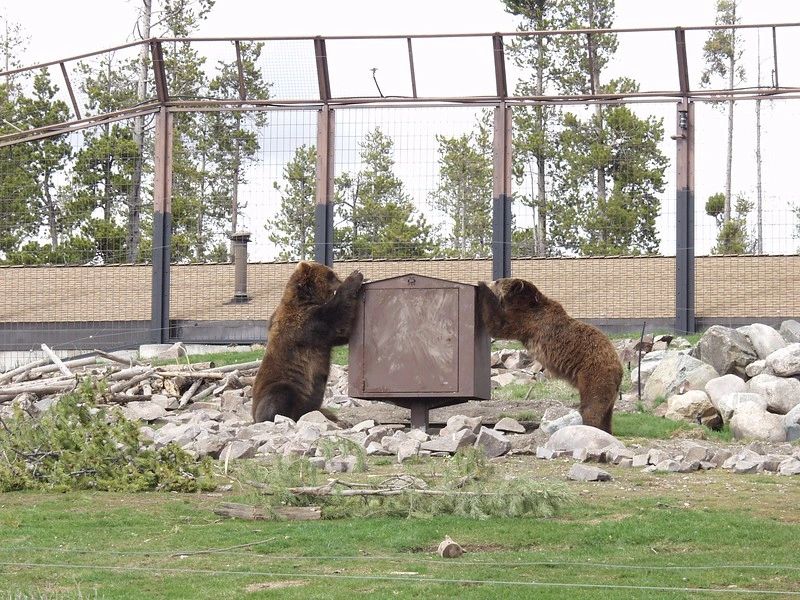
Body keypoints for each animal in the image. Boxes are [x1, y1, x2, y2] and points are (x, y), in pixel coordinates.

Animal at [251, 261, 363, 423]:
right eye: (332, 275)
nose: (339, 279)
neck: (305, 299)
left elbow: (342, 333)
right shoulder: (302, 323)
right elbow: (335, 317)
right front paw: (355, 276)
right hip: (281, 384)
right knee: (280, 394)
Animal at [477, 278, 622, 434]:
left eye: (498, 281)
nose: (491, 280)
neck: (526, 304)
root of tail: (619, 369)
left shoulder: (528, 322)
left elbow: (498, 325)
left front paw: (482, 286)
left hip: (594, 375)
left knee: (591, 407)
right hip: (608, 390)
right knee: (606, 414)